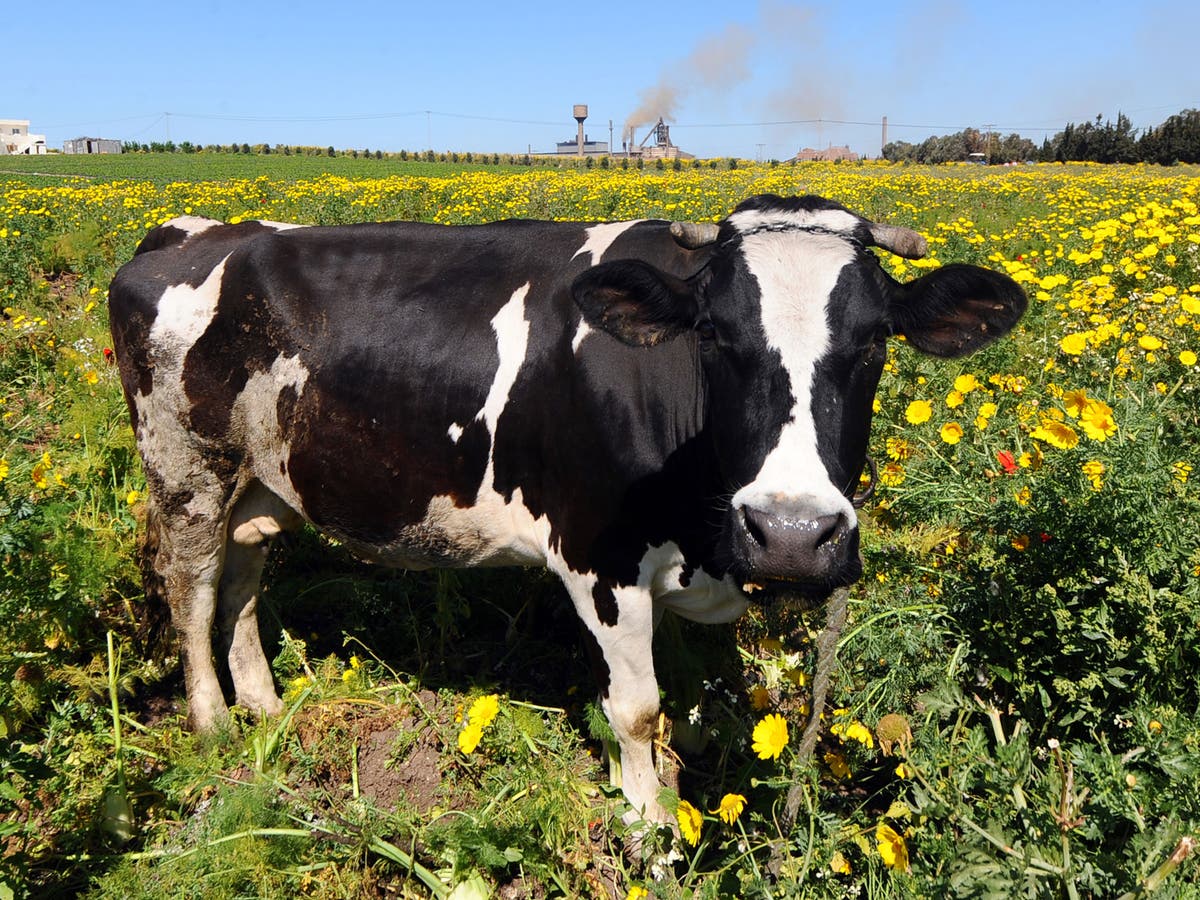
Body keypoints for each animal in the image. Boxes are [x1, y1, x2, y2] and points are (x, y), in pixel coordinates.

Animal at [108, 194, 1026, 827]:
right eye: (714, 335)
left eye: (873, 342)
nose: (793, 536)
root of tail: (189, 230)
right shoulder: (600, 559)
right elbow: (639, 706)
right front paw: (651, 825)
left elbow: (693, 688)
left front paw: (686, 765)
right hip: (184, 471)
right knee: (192, 588)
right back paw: (213, 721)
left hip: (261, 482)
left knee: (244, 581)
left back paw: (265, 705)